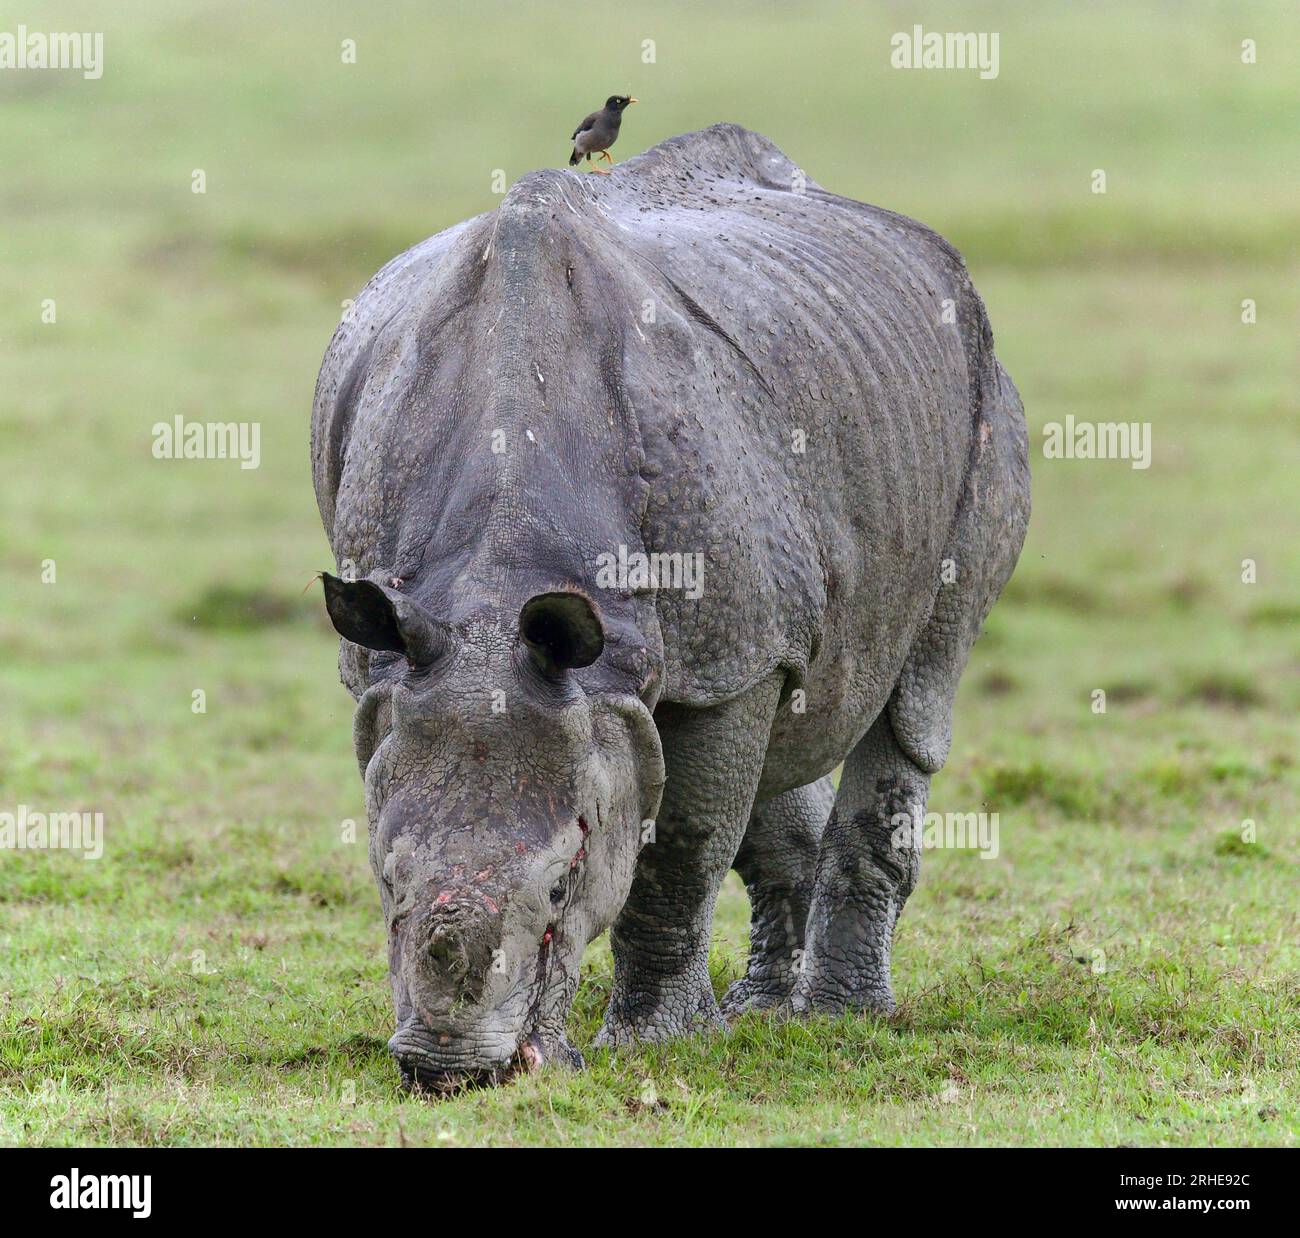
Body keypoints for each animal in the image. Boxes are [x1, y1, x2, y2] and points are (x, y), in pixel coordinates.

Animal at [310, 124, 1030, 1091]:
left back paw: (840, 1020)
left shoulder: (725, 651)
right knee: (787, 721)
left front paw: (655, 1044)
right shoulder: (390, 663)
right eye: (384, 880)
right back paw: (762, 1011)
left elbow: (683, 840)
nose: (448, 1069)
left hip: (983, 403)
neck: (499, 588)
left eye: (565, 882)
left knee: (913, 700)